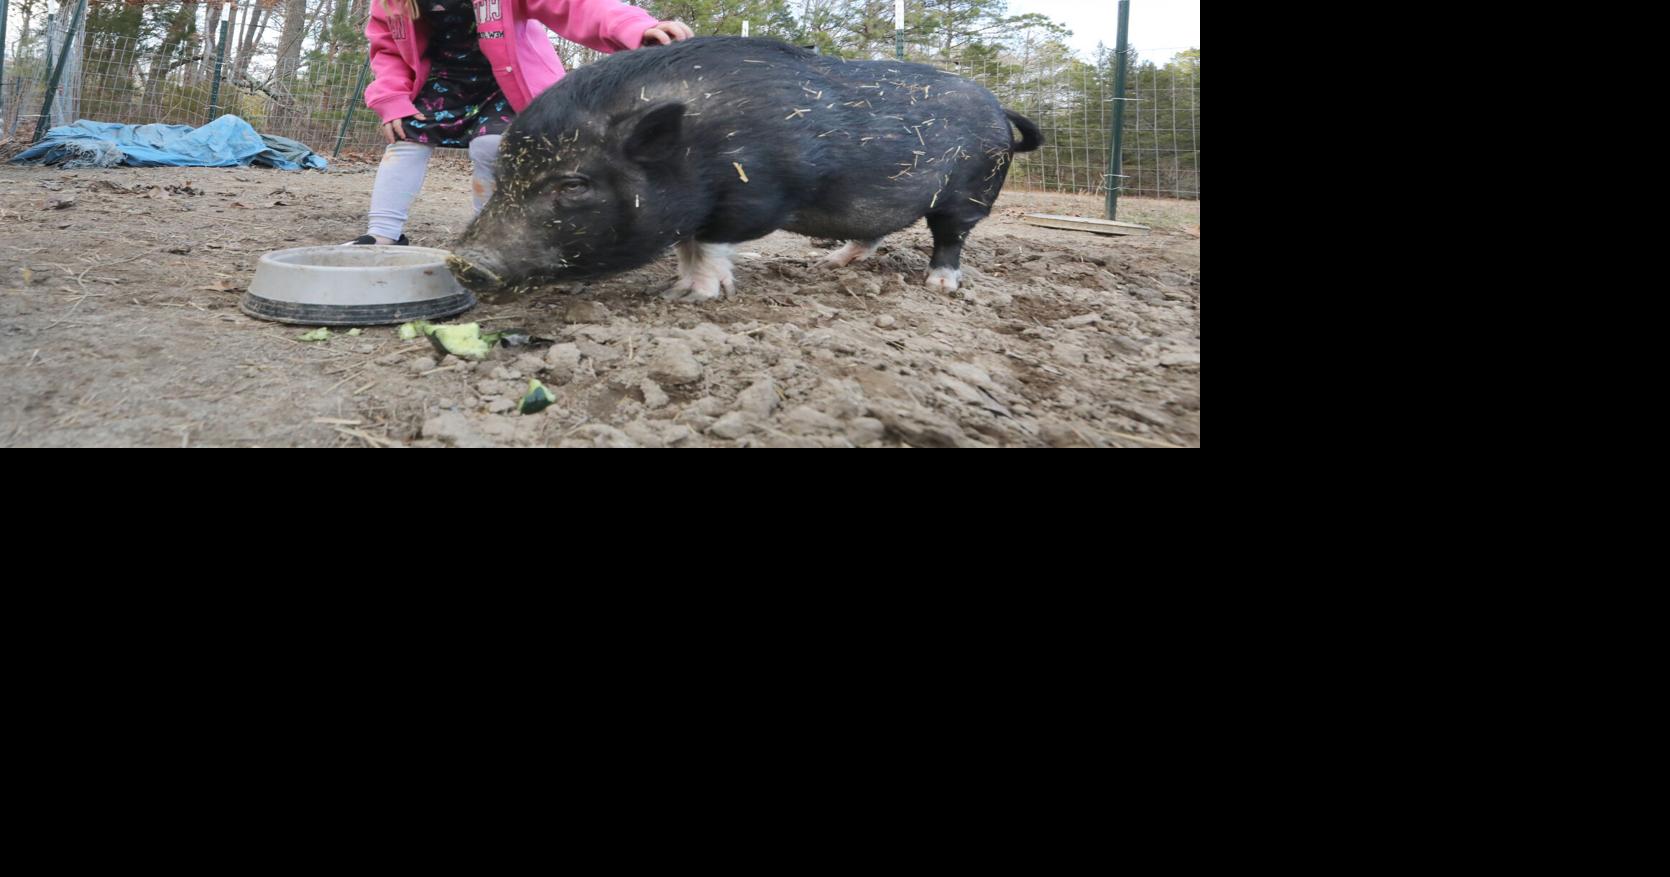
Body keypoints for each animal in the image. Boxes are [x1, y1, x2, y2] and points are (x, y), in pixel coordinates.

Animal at [449, 36, 1042, 301]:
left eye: (574, 183)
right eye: (502, 176)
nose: (466, 261)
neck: (695, 147)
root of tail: (999, 106)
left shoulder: (754, 197)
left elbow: (709, 244)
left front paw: (695, 296)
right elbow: (686, 245)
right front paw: (674, 289)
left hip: (971, 190)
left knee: (950, 238)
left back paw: (939, 286)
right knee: (874, 232)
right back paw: (830, 264)